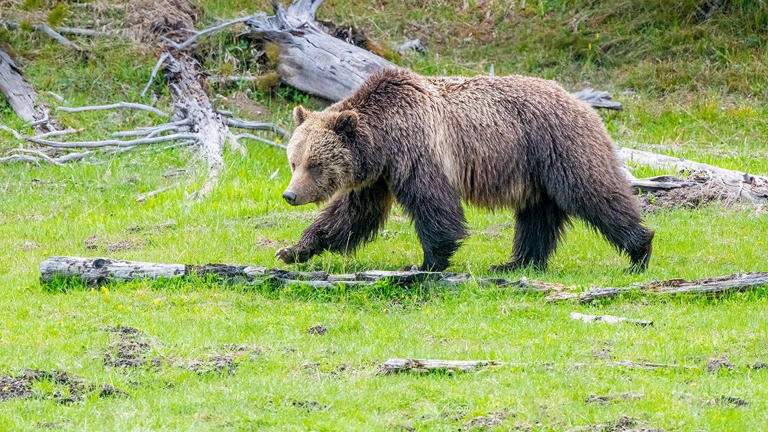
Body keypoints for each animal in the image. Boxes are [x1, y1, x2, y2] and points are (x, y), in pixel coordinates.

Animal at [275, 68, 654, 272]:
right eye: (294, 161)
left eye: (315, 164)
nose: (290, 194)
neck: (383, 138)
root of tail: (581, 103)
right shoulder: (377, 175)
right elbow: (351, 214)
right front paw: (294, 250)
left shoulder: (418, 151)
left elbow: (433, 204)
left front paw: (427, 262)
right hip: (535, 170)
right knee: (536, 216)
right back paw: (517, 262)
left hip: (559, 146)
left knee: (594, 192)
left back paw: (639, 249)